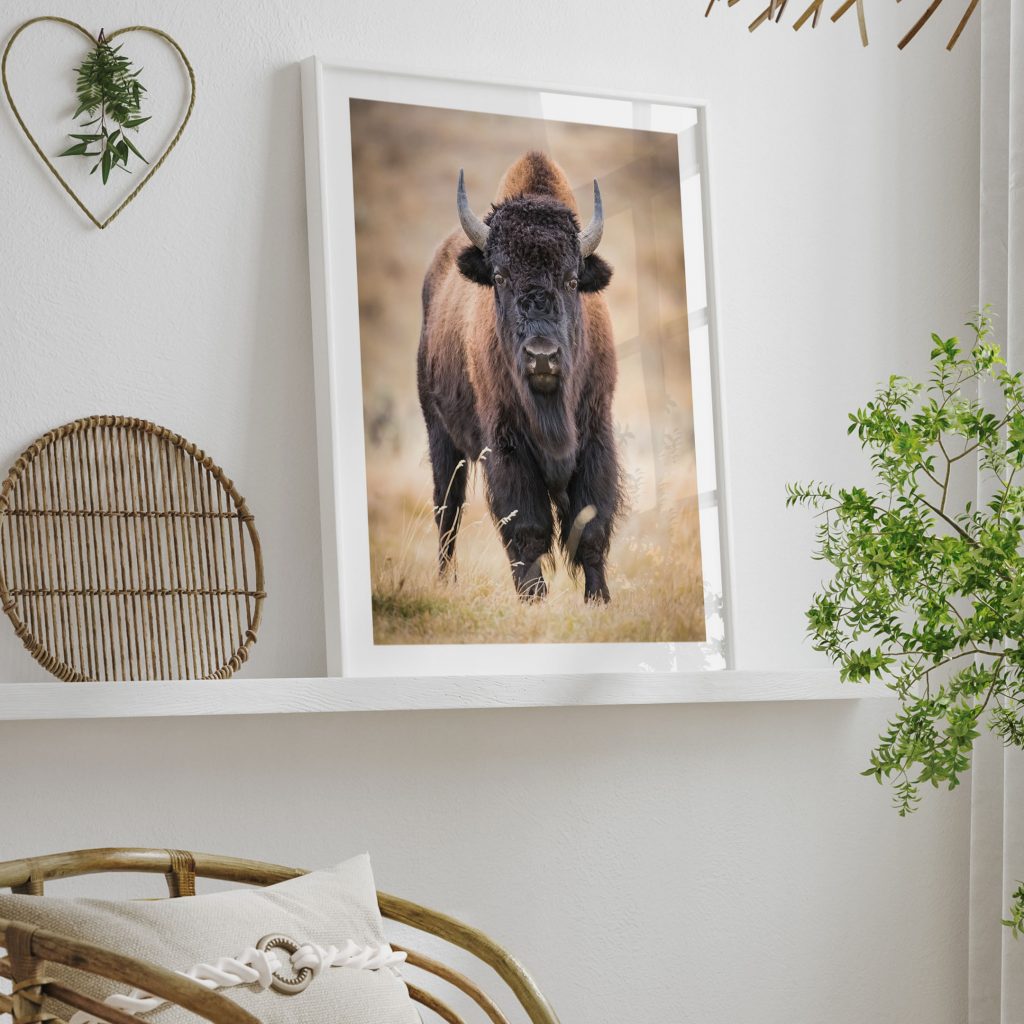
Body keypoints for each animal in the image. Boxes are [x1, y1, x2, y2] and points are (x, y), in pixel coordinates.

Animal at [416, 151, 622, 602]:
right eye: (499, 276)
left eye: (572, 280)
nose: (542, 357)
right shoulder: (507, 445)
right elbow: (527, 526)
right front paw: (533, 597)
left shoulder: (595, 434)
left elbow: (591, 524)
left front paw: (598, 598)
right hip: (440, 434)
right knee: (447, 511)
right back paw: (445, 582)